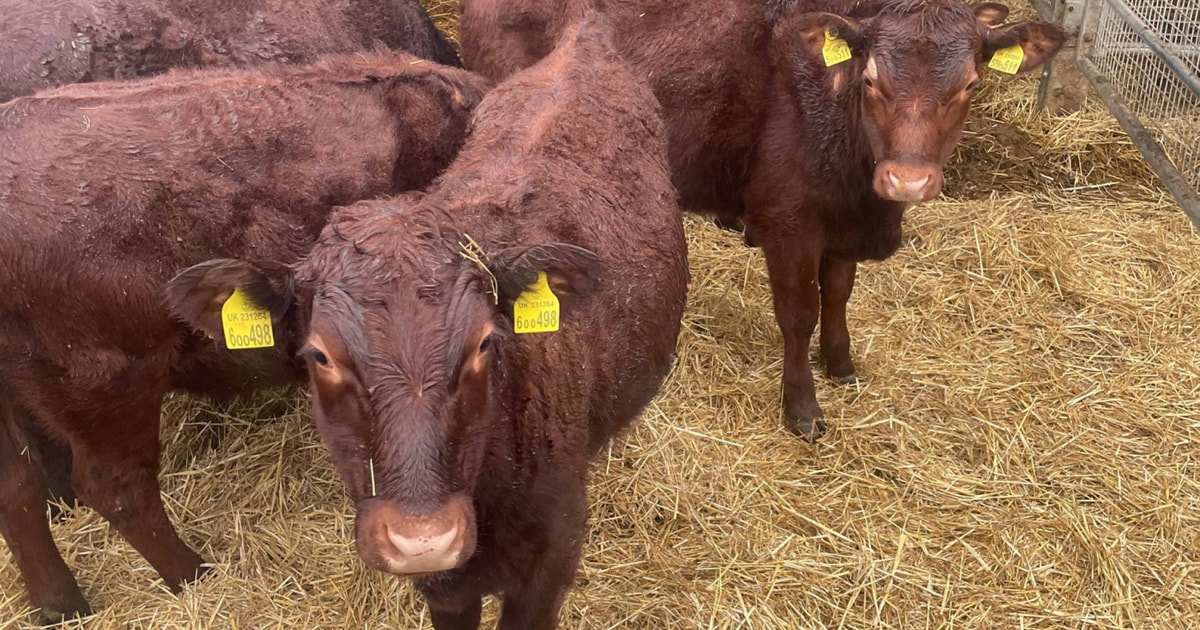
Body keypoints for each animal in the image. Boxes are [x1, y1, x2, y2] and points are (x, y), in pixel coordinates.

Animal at [167, 14, 688, 630]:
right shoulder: (445, 589)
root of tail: (583, 37)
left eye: (485, 344)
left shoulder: (552, 564)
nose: (424, 541)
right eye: (320, 355)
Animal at [458, 0, 1066, 439]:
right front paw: (803, 407)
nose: (907, 180)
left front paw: (841, 364)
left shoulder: (840, 228)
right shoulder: (788, 224)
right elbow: (799, 315)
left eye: (969, 85)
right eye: (871, 80)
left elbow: (838, 294)